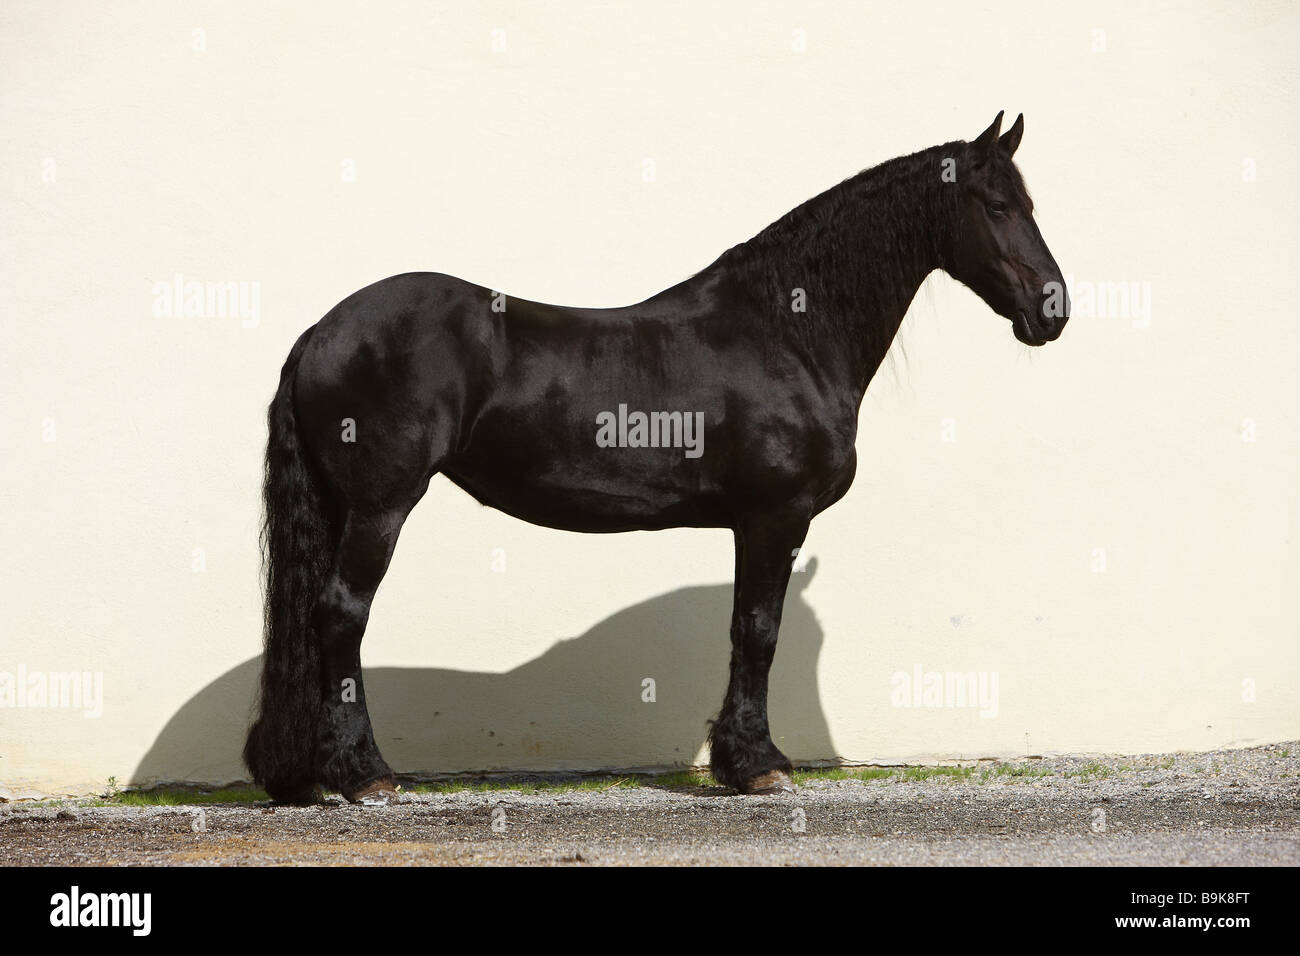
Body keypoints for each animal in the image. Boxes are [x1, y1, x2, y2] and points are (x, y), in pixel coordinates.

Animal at [243, 112, 1069, 803]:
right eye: (998, 205)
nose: (1053, 308)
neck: (788, 331)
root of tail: (321, 331)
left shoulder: (753, 522)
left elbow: (745, 628)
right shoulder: (775, 516)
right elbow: (758, 632)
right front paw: (758, 766)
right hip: (380, 506)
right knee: (342, 617)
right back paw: (365, 775)